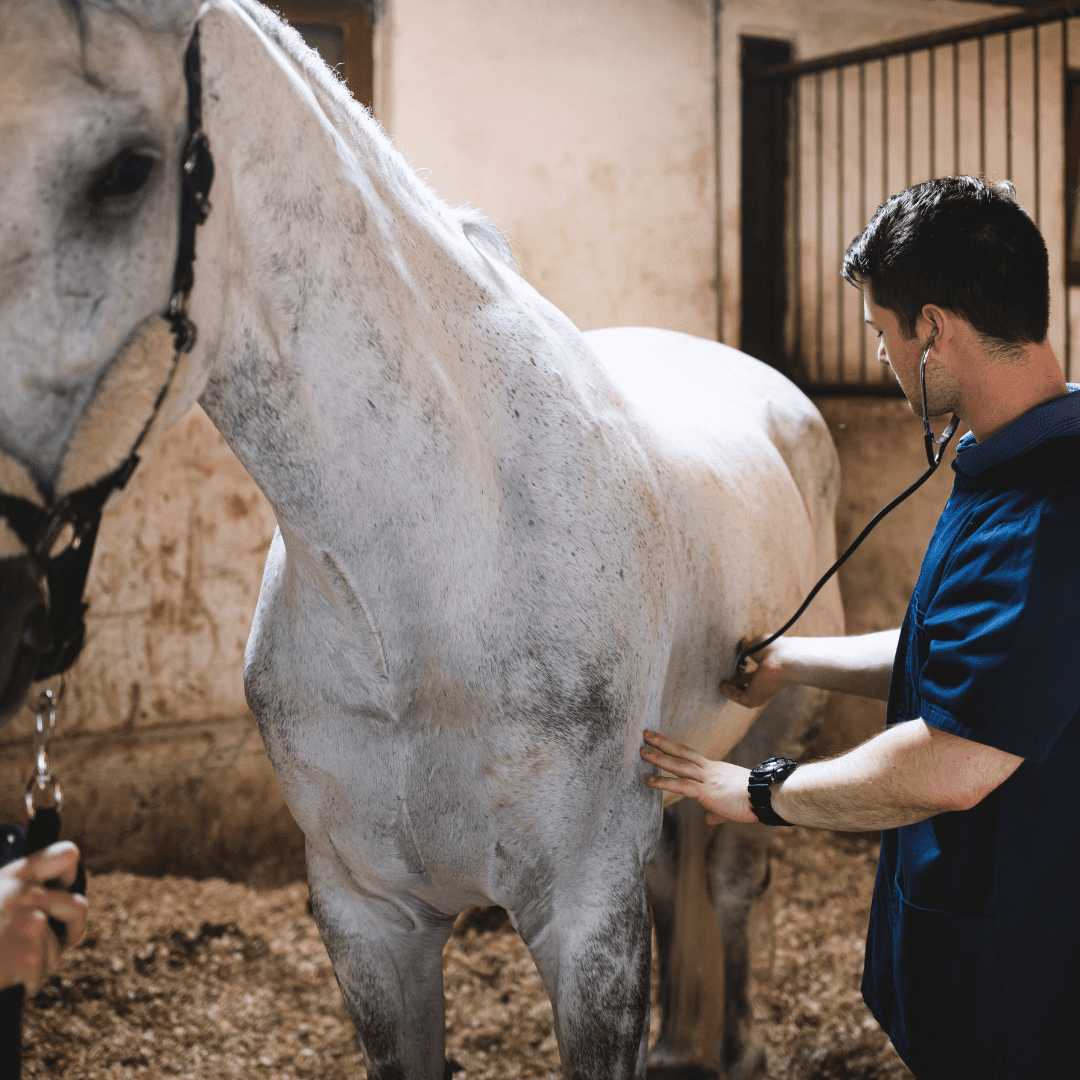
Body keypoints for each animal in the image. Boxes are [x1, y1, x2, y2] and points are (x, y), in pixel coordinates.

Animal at [0, 0, 844, 1075]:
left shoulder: (587, 918)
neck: (422, 583)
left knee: (733, 879)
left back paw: (734, 1045)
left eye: (125, 170)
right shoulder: (368, 918)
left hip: (776, 729)